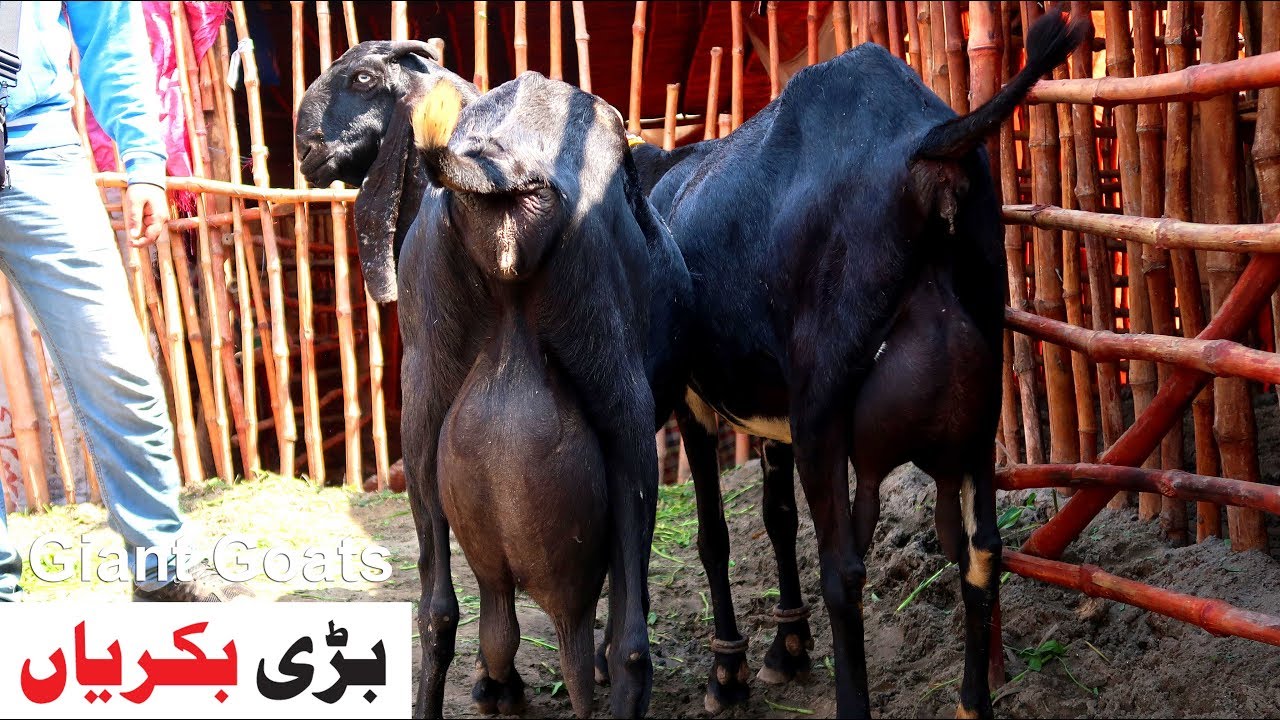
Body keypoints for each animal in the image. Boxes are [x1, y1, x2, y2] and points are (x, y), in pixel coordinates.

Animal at [297, 42, 691, 718]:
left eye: (364, 77)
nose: (305, 148)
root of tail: (504, 174)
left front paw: (495, 683)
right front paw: (500, 683)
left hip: (424, 401)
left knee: (436, 609)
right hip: (618, 389)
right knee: (627, 640)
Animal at [630, 9, 1088, 719]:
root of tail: (929, 144)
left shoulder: (702, 402)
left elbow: (715, 535)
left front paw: (728, 670)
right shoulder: (776, 415)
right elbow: (777, 518)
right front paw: (787, 646)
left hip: (825, 404)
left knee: (844, 568)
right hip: (977, 392)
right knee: (982, 550)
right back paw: (971, 702)